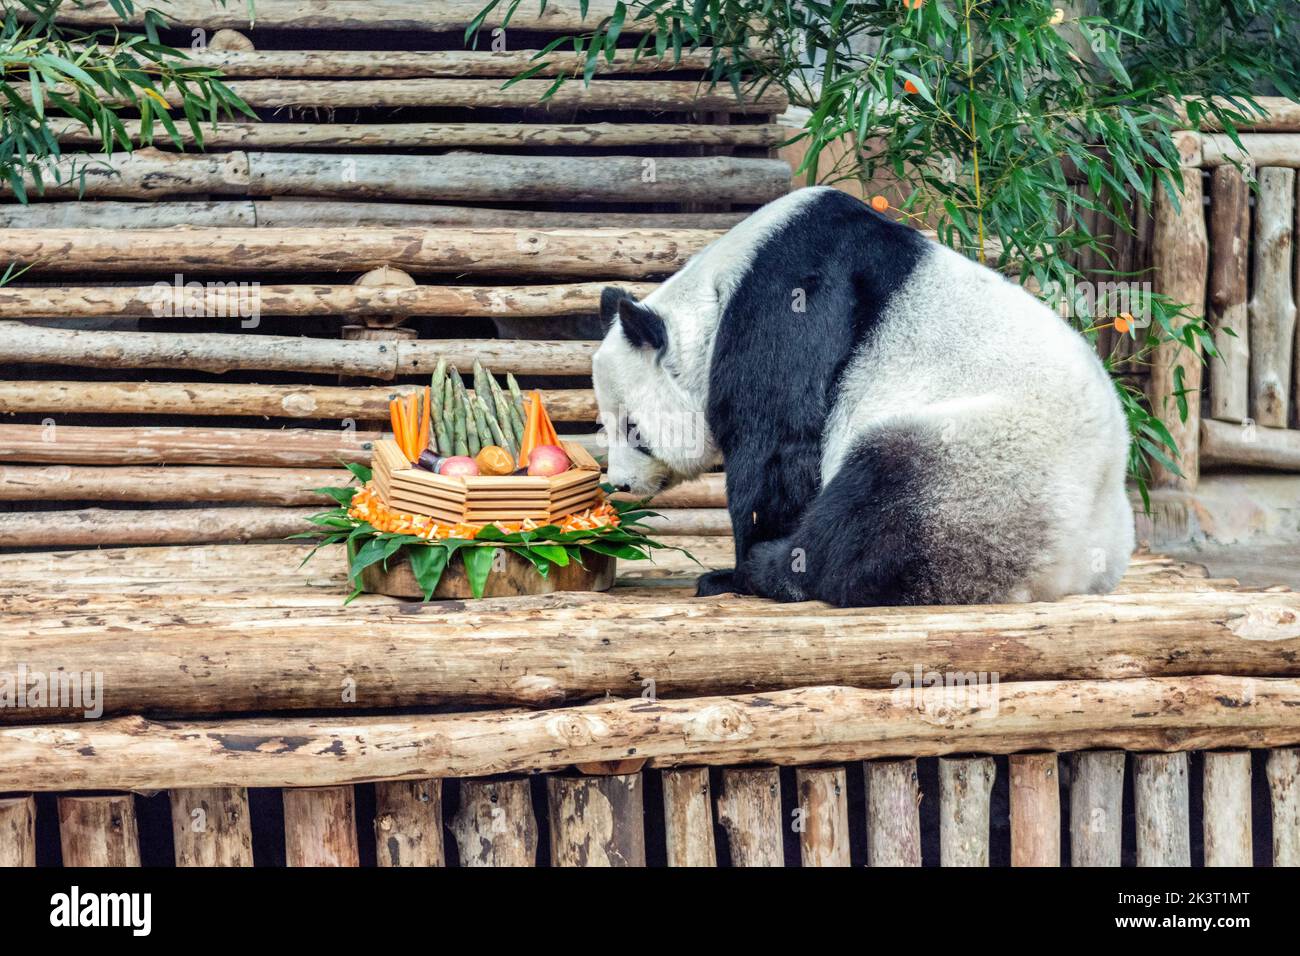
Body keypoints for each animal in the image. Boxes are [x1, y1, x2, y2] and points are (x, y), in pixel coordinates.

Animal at [593, 186, 1134, 606]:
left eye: (634, 430)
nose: (620, 484)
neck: (711, 294)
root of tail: (1071, 572)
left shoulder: (789, 298)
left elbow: (776, 448)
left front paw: (736, 567)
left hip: (983, 468)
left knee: (874, 511)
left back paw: (772, 570)